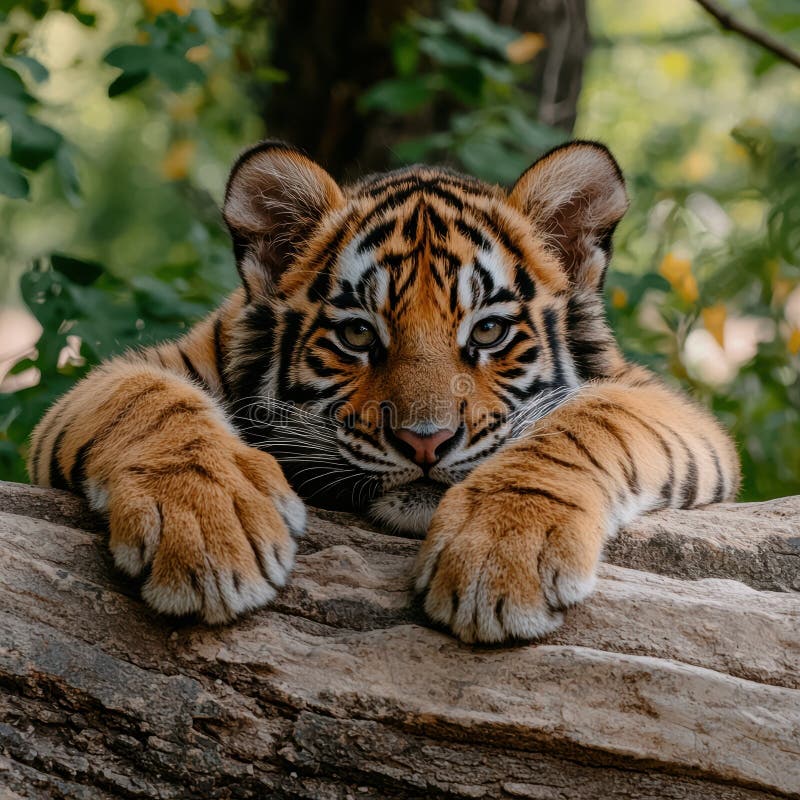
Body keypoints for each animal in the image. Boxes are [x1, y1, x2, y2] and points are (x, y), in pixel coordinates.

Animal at [28, 139, 740, 643]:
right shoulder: (128, 377)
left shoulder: (661, 404)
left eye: (488, 330)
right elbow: (145, 398)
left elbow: (592, 419)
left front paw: (501, 552)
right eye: (357, 334)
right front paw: (206, 525)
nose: (426, 442)